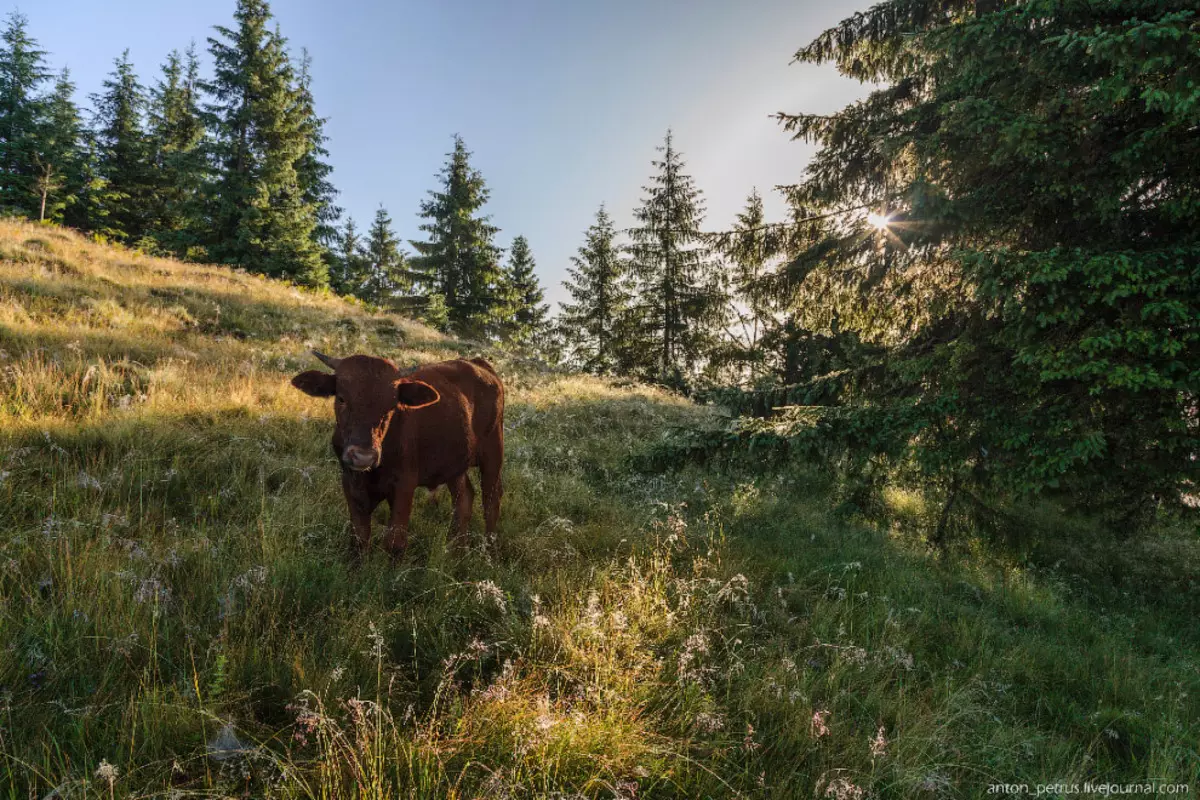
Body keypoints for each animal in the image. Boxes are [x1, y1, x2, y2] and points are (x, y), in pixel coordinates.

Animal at [292, 350, 504, 556]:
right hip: (455, 465)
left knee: (491, 501)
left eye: (391, 406)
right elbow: (360, 539)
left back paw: (490, 551)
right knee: (464, 499)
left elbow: (395, 543)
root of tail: (478, 364)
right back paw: (457, 550)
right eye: (342, 398)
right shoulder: (350, 482)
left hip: (493, 454)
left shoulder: (404, 485)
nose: (363, 456)